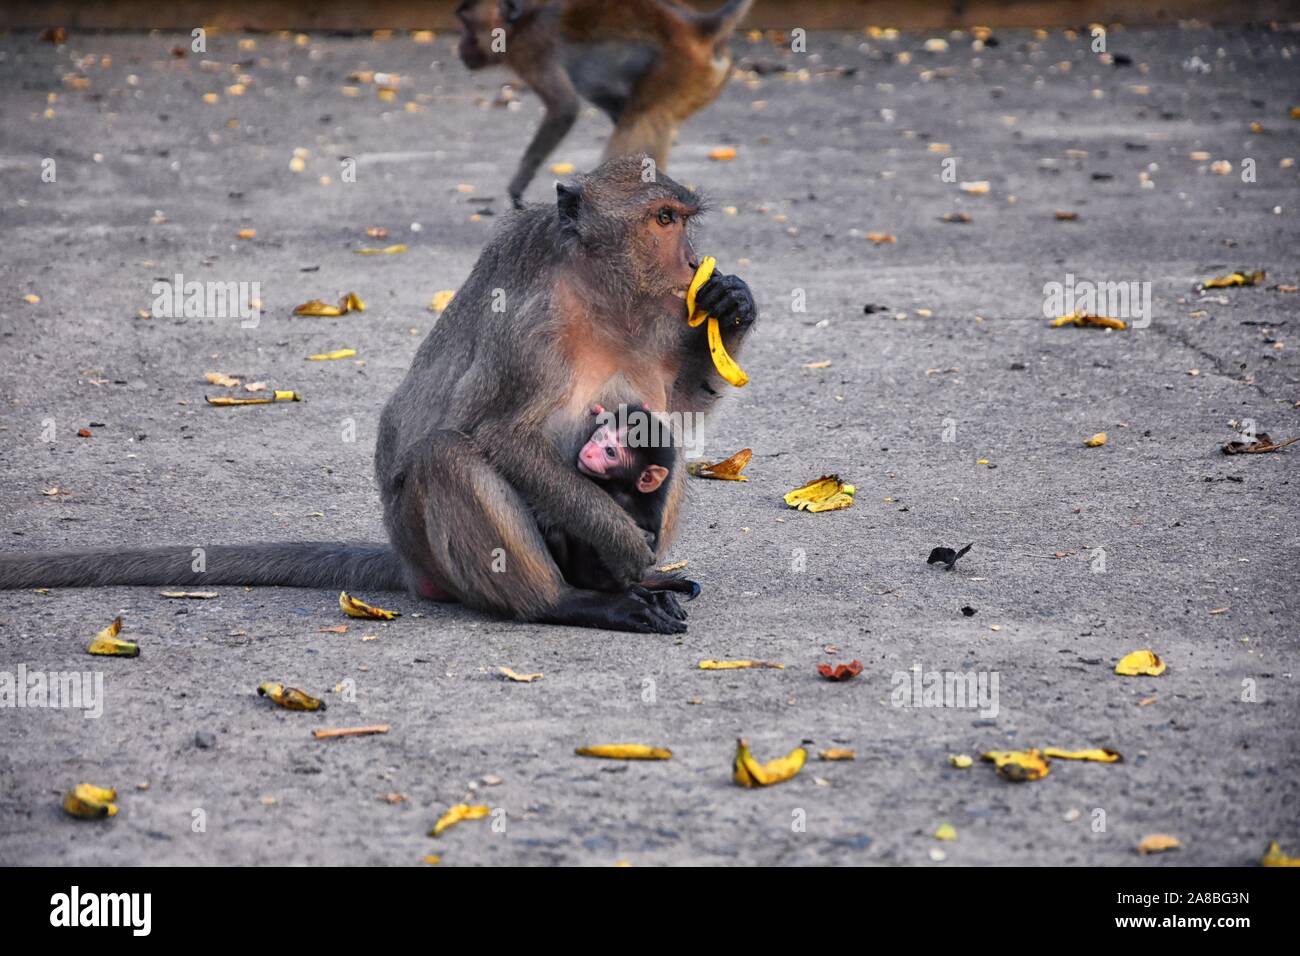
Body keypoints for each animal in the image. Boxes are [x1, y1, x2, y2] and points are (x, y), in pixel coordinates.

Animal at [0, 156, 757, 634]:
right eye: (663, 219)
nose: (695, 262)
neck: (600, 289)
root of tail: (409, 561)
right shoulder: (531, 321)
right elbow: (498, 435)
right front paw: (624, 546)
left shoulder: (660, 314)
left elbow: (674, 408)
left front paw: (733, 307)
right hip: (434, 548)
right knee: (445, 455)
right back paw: (572, 602)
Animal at [456, 0, 754, 206]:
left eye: (467, 25)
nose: (460, 46)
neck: (523, 19)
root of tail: (698, 26)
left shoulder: (531, 47)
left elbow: (565, 108)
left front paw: (518, 185)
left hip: (681, 69)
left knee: (639, 119)